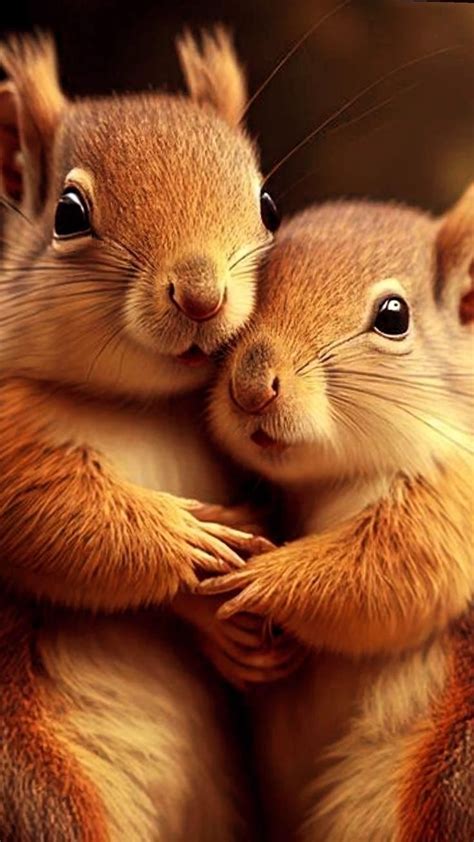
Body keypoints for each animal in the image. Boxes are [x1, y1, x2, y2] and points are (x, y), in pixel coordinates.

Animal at [0, 29, 292, 840]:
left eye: (267, 203)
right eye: (68, 213)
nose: (201, 294)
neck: (142, 407)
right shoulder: (11, 430)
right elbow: (52, 519)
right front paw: (187, 546)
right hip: (37, 786)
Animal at [200, 188, 474, 840]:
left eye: (394, 316)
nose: (251, 388)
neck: (328, 482)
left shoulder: (453, 504)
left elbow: (389, 573)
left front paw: (258, 580)